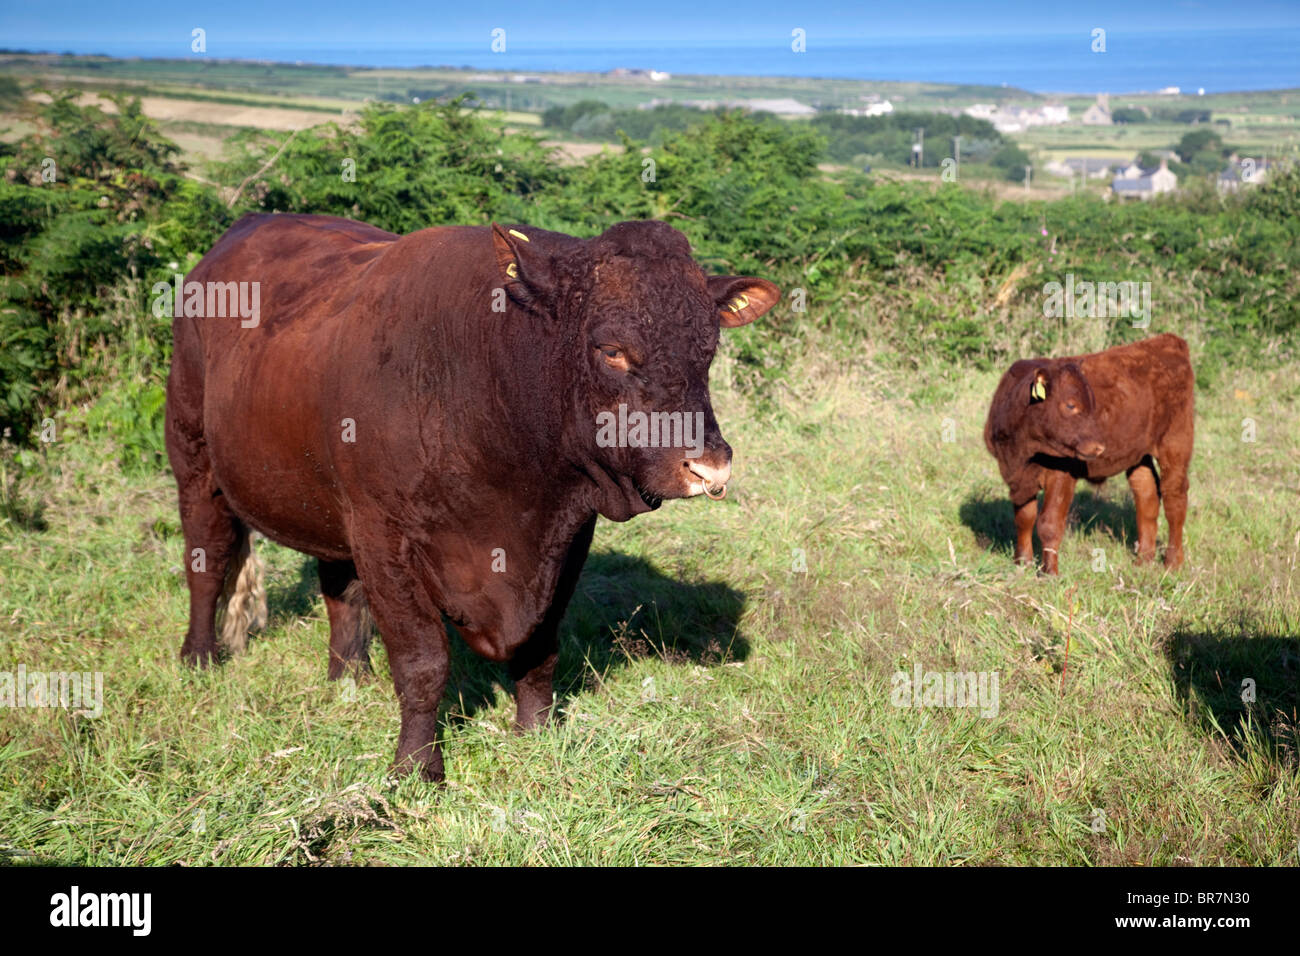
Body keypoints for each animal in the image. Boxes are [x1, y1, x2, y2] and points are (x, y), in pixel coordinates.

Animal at [165, 213, 779, 780]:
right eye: (612, 350)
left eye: (708, 349)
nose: (708, 465)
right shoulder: (385, 536)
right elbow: (422, 661)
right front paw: (416, 767)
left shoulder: (567, 537)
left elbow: (540, 648)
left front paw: (537, 736)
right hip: (194, 460)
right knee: (207, 562)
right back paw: (199, 659)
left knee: (338, 588)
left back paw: (348, 678)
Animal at [982, 333, 1194, 574]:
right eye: (1070, 405)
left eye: (1092, 404)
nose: (1099, 447)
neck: (1022, 454)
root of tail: (1167, 340)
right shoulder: (1016, 477)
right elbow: (1024, 518)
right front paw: (1022, 563)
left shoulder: (1062, 472)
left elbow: (1049, 523)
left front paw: (1049, 572)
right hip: (1139, 453)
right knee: (1146, 494)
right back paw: (1143, 560)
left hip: (1176, 442)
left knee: (1174, 497)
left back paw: (1172, 562)